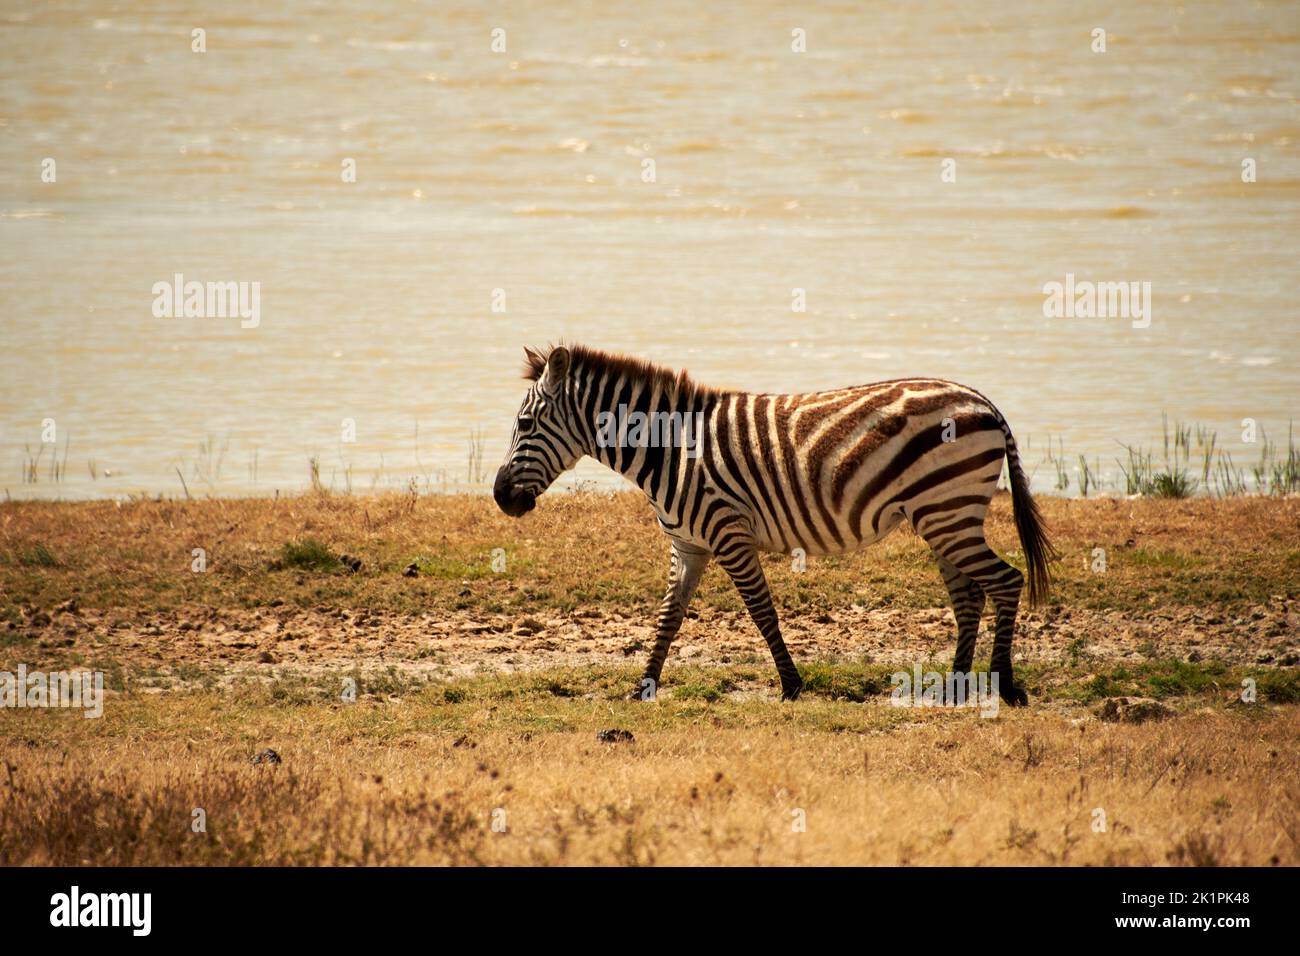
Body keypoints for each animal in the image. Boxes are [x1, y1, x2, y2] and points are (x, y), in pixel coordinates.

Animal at [493, 344, 1056, 705]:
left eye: (524, 424)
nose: (500, 497)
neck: (670, 450)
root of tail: (983, 401)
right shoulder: (688, 545)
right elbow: (669, 617)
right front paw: (643, 688)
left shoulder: (728, 533)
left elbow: (762, 612)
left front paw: (791, 685)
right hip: (944, 518)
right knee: (970, 595)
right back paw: (956, 685)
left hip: (948, 512)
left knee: (1005, 582)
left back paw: (1004, 683)